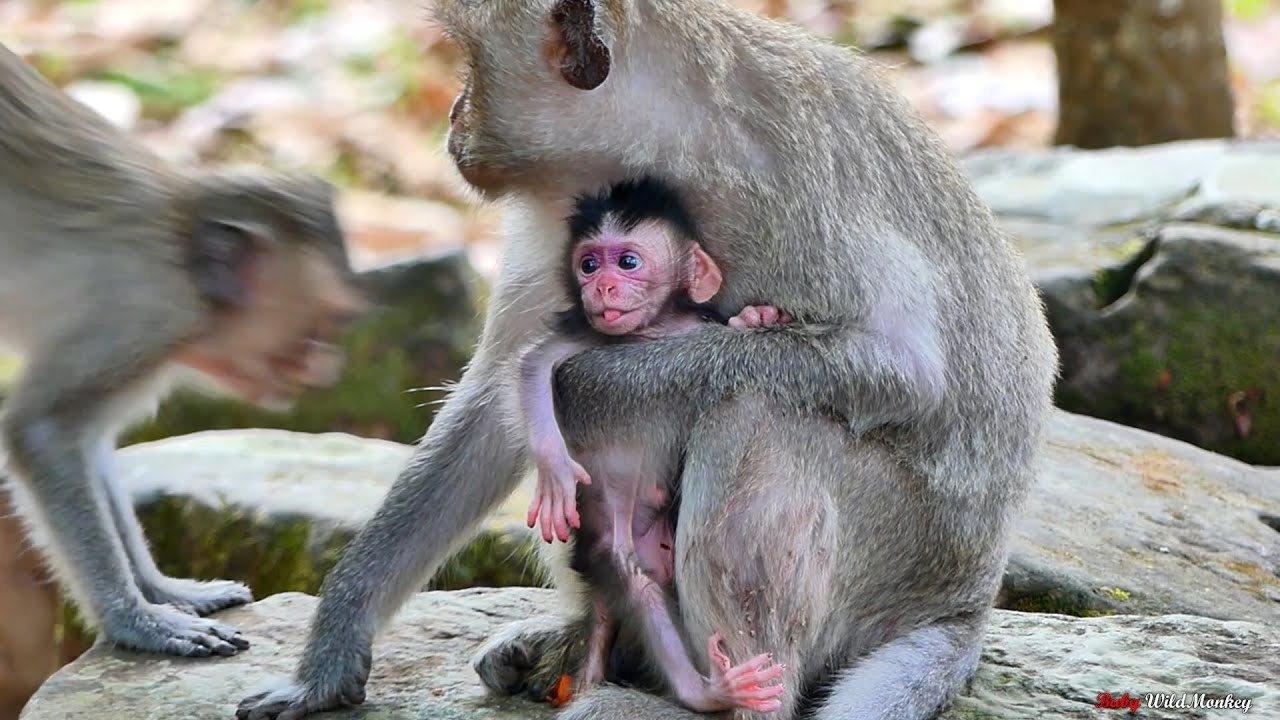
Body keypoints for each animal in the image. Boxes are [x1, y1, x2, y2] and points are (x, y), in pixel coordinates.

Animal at [0, 42, 364, 658]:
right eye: (325, 324)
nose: (330, 363)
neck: (185, 255)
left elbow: (87, 445)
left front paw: (163, 590)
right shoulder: (143, 315)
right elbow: (43, 434)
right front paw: (136, 620)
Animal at [518, 175, 787, 714]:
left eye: (627, 262)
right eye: (588, 264)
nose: (600, 287)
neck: (656, 328)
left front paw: (755, 317)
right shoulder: (590, 334)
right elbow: (534, 368)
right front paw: (555, 473)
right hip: (609, 544)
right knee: (637, 588)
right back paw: (707, 691)